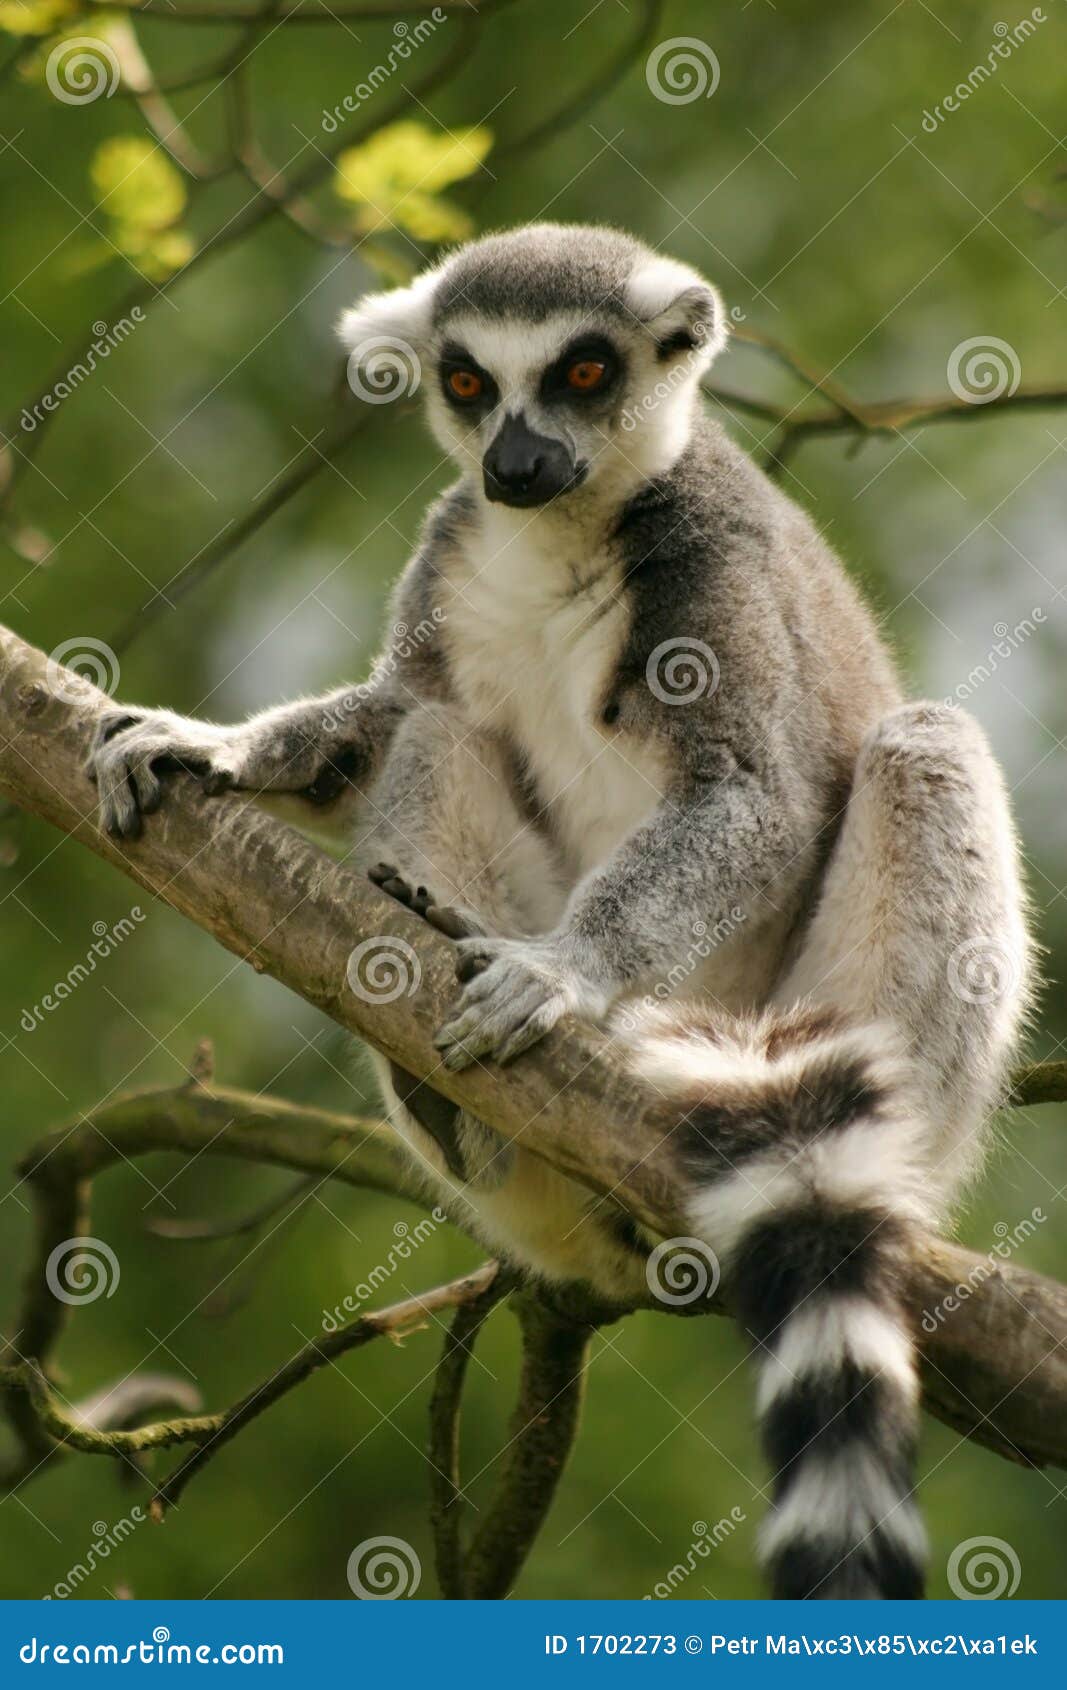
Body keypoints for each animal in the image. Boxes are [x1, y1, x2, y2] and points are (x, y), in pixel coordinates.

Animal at [88, 223, 1033, 1601]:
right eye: (468, 382)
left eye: (584, 372)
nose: (514, 462)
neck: (557, 535)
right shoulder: (454, 549)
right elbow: (392, 716)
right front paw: (218, 750)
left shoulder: (715, 560)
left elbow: (753, 795)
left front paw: (563, 971)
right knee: (441, 731)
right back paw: (452, 1102)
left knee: (921, 745)